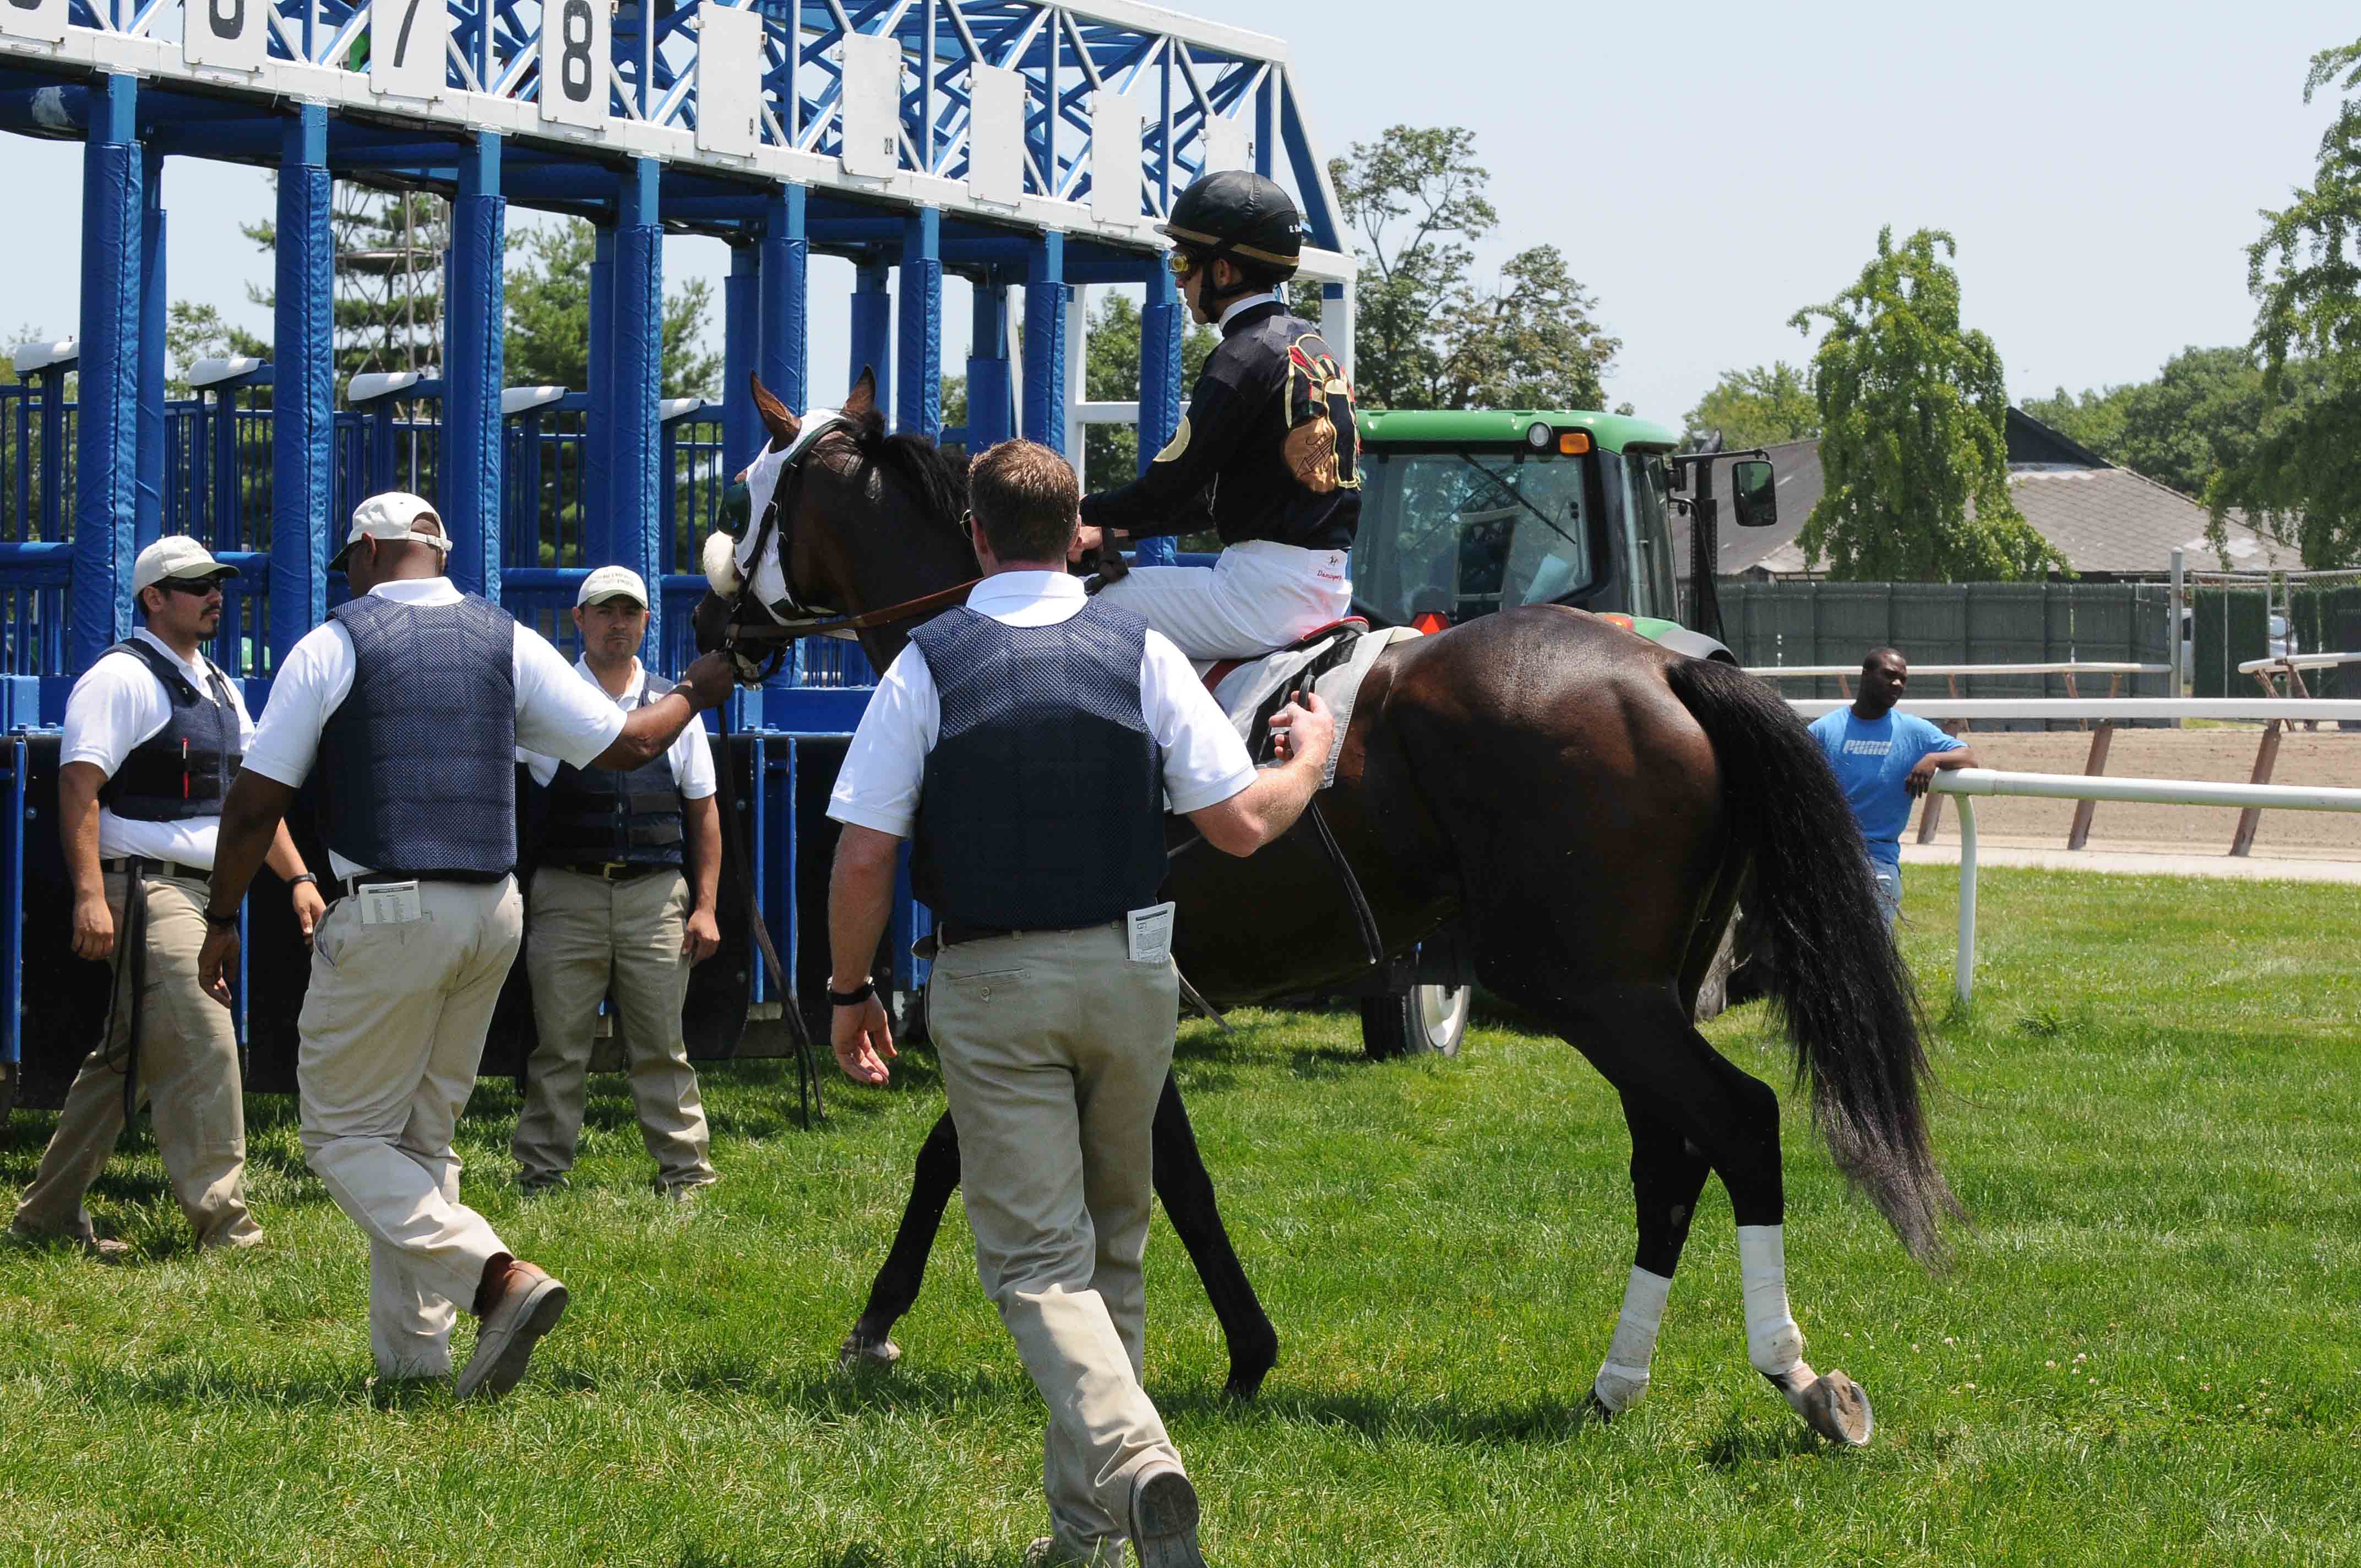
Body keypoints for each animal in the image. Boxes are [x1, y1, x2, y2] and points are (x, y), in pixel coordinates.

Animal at [695, 370, 1957, 1445]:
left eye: (746, 495)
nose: (716, 631)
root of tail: (1664, 669)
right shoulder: (1138, 989)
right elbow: (1179, 1176)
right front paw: (1247, 1351)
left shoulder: (1037, 964)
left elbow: (948, 1155)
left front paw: (874, 1323)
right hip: (1628, 992)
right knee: (1669, 1154)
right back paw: (1614, 1385)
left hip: (1591, 990)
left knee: (1734, 1122)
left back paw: (1793, 1372)